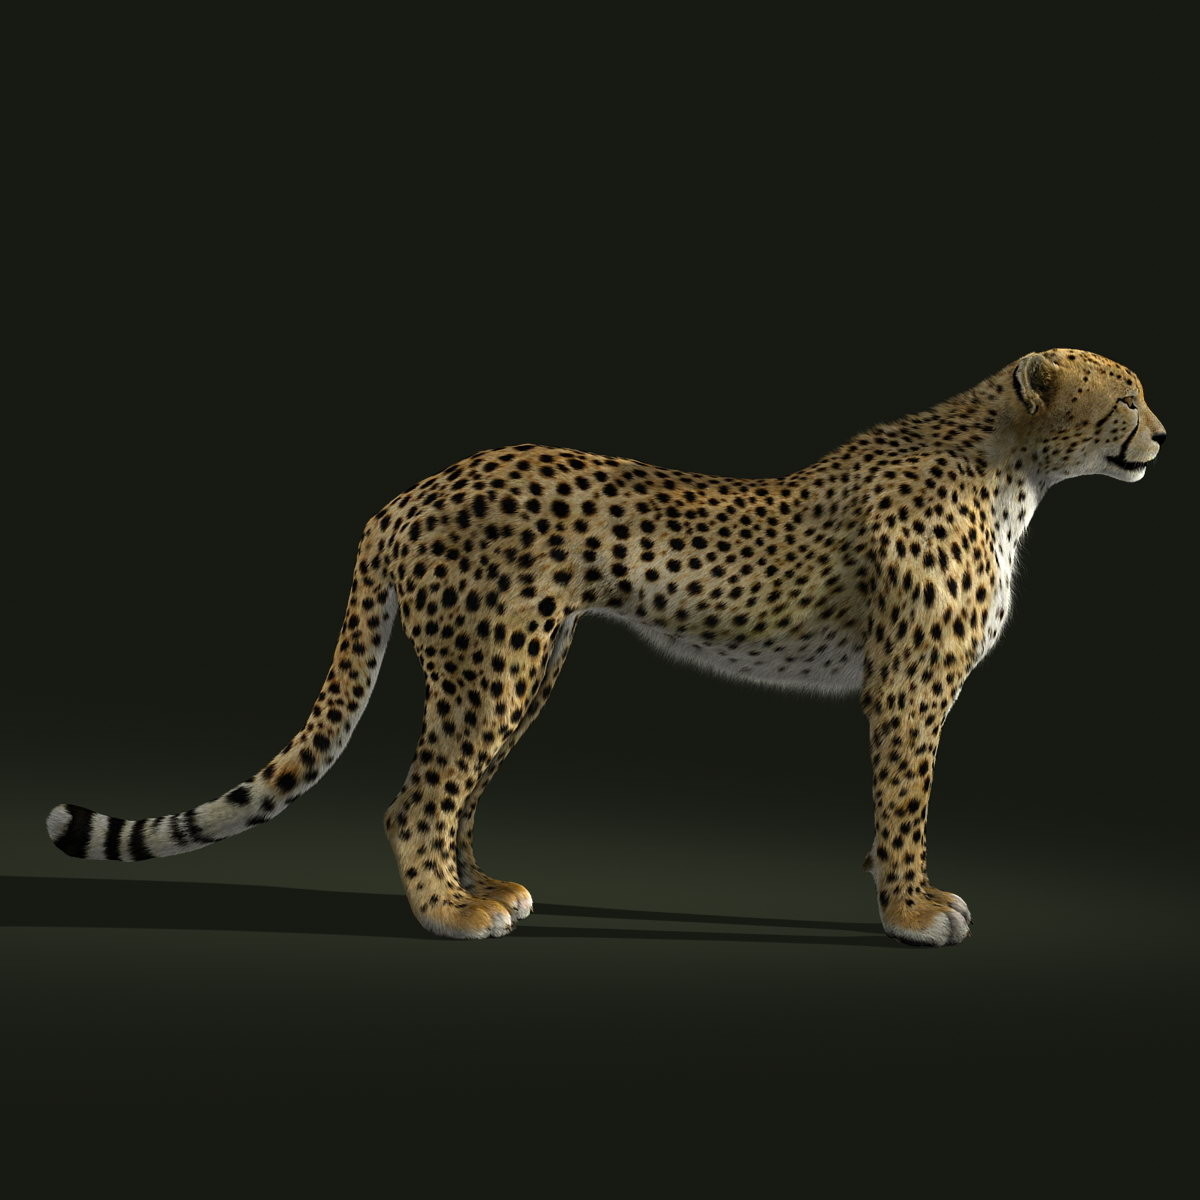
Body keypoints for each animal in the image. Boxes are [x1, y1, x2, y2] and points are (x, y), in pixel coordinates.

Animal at [47, 348, 1166, 945]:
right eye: (1125, 399)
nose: (1162, 437)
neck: (1014, 464)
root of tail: (417, 486)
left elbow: (896, 804)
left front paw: (896, 895)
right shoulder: (909, 686)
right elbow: (905, 804)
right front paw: (910, 908)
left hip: (525, 664)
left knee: (458, 791)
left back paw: (481, 888)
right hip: (490, 666)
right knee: (419, 798)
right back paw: (448, 914)